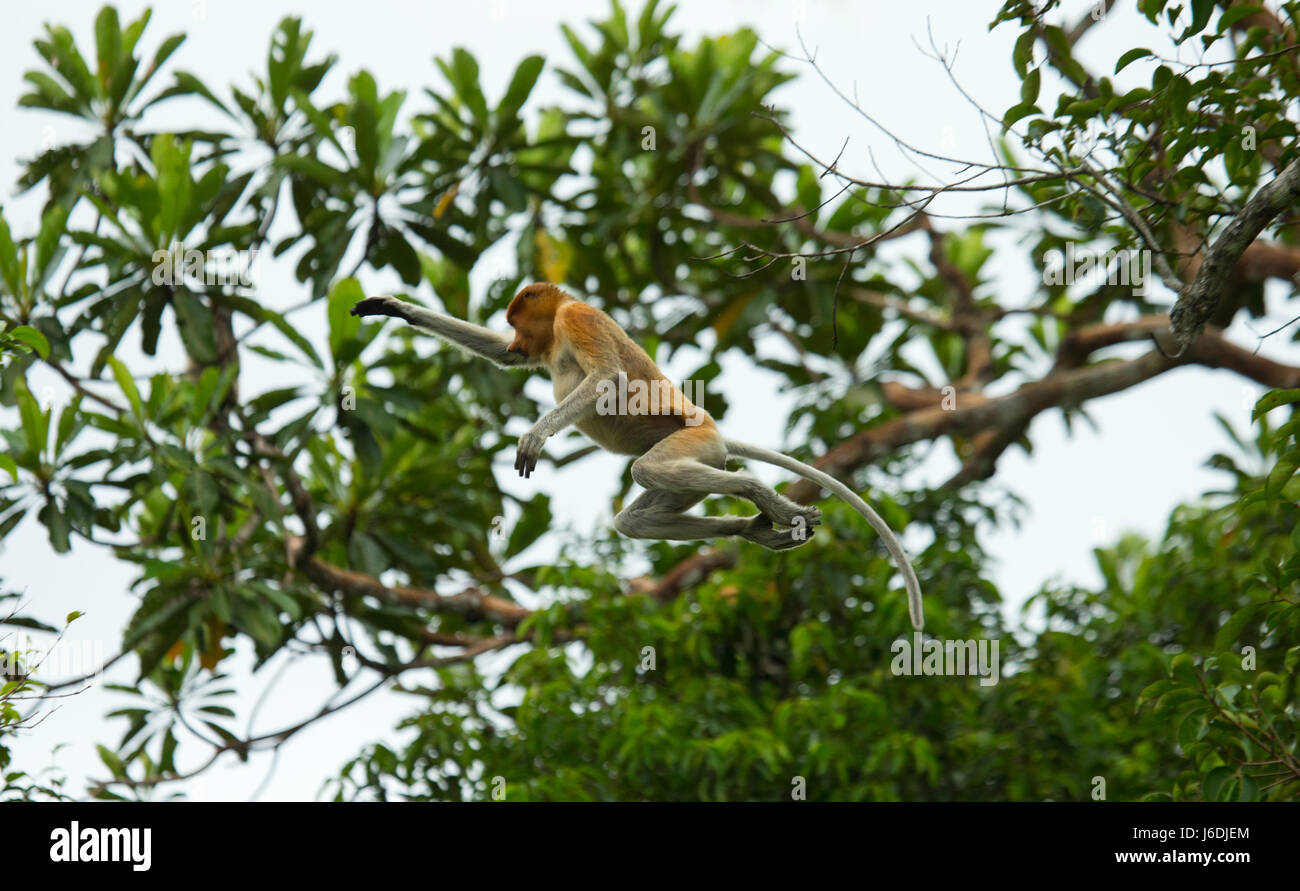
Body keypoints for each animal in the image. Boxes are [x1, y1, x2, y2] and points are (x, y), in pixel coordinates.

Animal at [351, 284, 924, 630]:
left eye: (517, 321)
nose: (516, 343)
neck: (555, 327)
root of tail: (718, 433)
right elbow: (496, 356)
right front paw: (391, 307)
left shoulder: (579, 318)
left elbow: (606, 378)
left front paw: (533, 437)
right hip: (696, 466)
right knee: (636, 519)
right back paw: (751, 528)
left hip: (691, 443)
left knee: (648, 468)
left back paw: (765, 499)